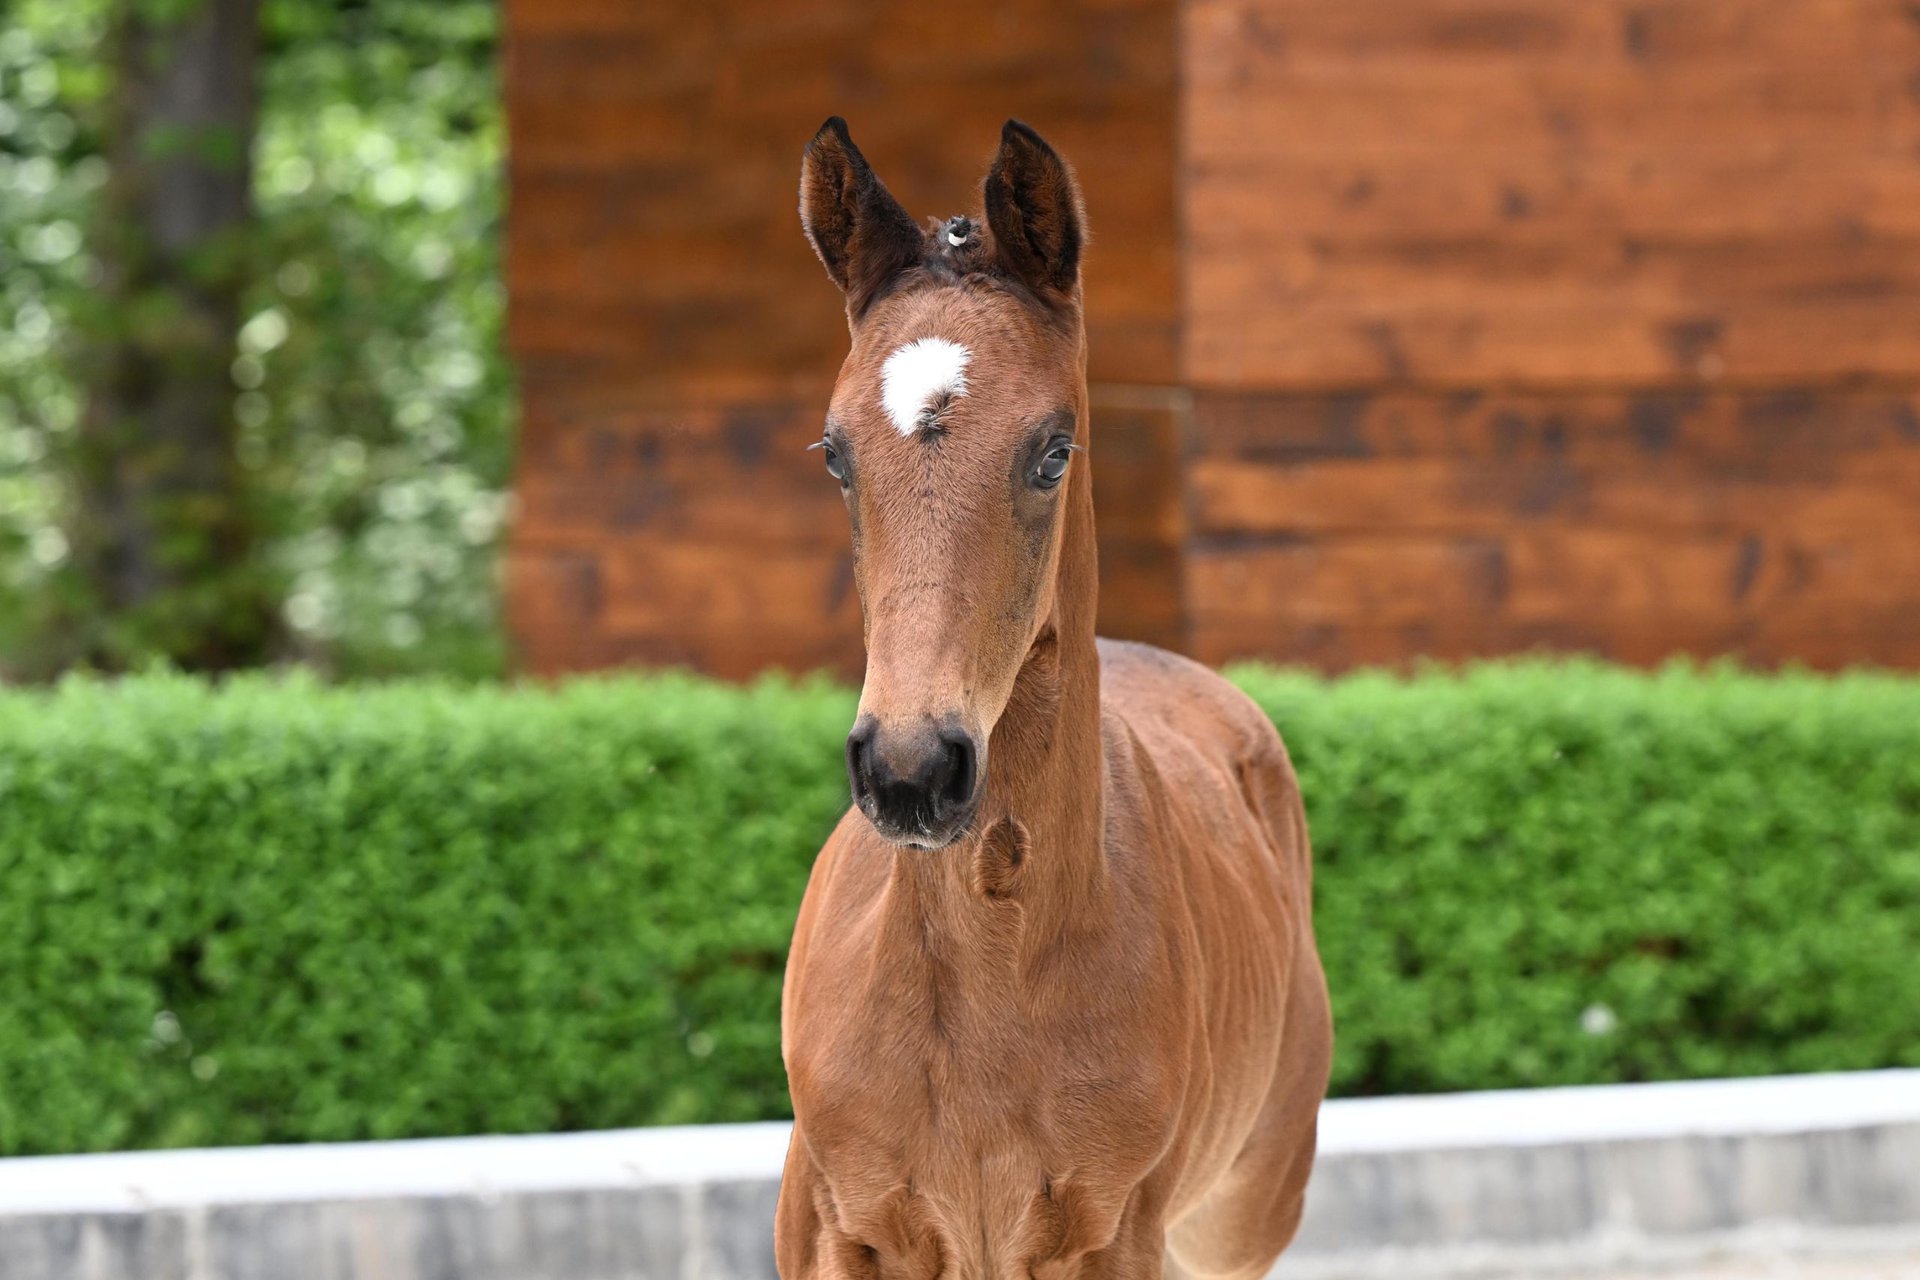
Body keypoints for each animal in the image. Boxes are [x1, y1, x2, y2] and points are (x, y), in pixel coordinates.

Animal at [775, 117, 1332, 1280]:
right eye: (835, 453)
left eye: (1053, 450)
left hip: (1238, 1219)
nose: (910, 769)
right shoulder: (834, 1226)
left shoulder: (1120, 1233)